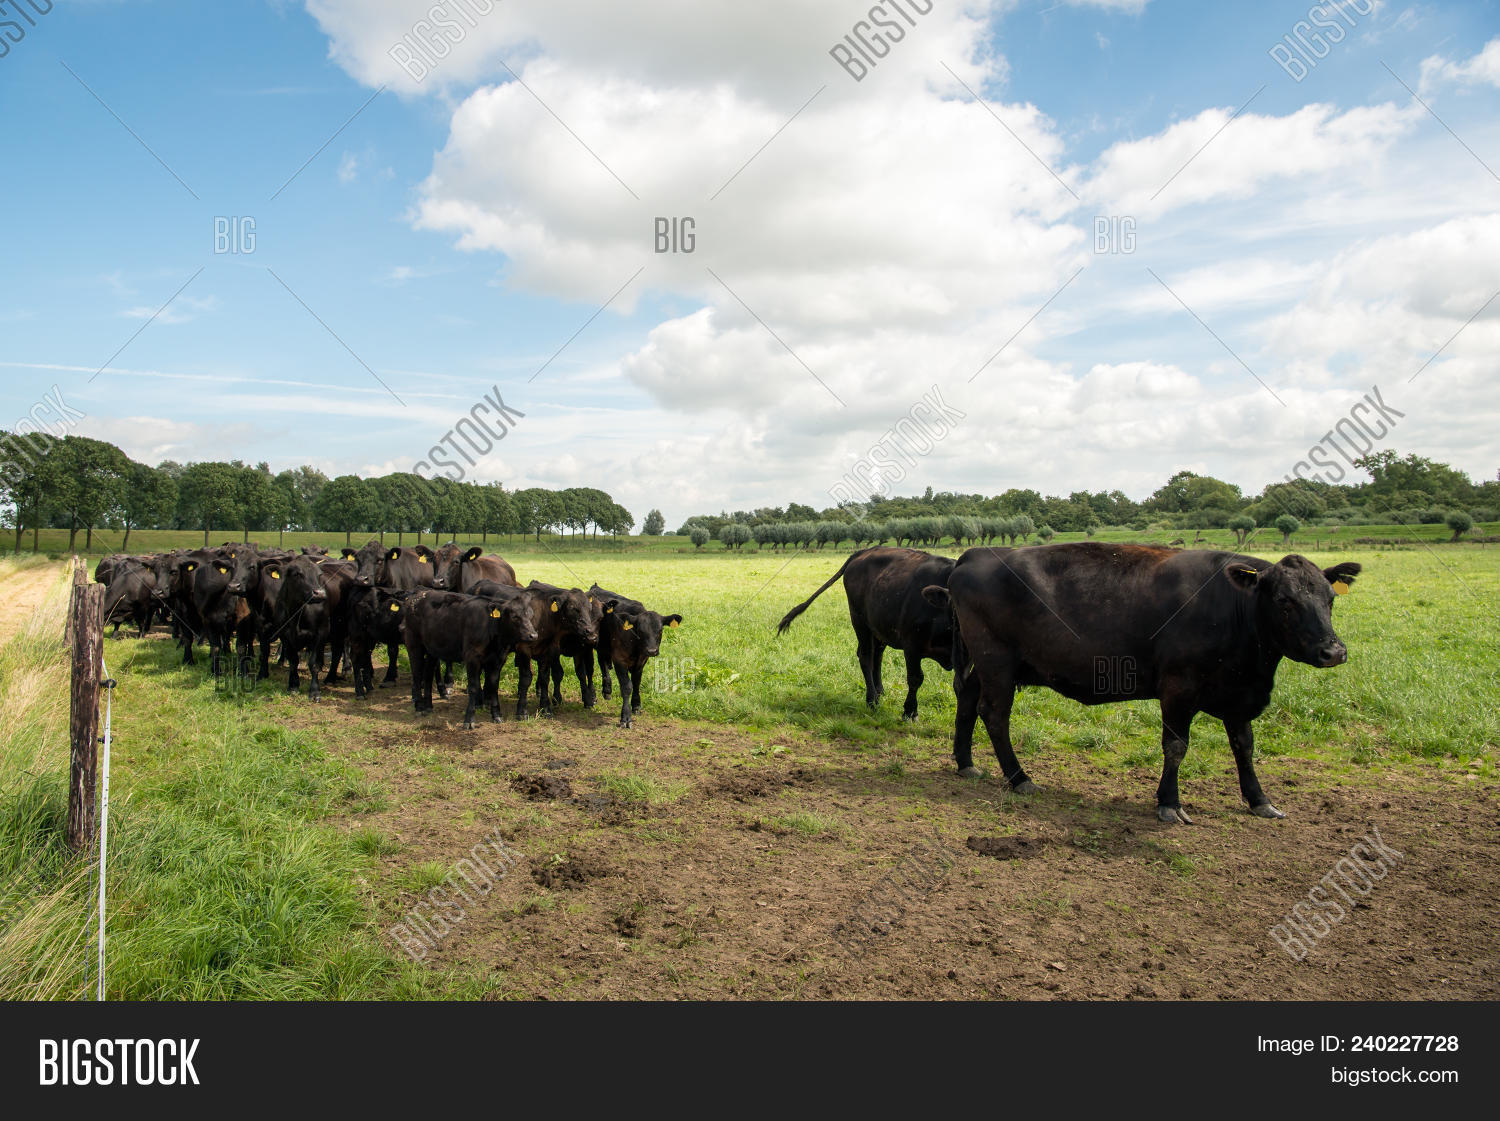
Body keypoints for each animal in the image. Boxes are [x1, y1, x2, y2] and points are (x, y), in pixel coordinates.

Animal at [403, 589, 539, 728]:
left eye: (531, 616)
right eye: (514, 616)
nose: (533, 635)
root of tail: (419, 595)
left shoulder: (498, 660)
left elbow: (493, 686)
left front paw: (497, 715)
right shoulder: (472, 658)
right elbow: (473, 687)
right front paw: (470, 719)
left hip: (432, 650)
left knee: (428, 676)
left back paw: (428, 706)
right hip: (414, 645)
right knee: (417, 674)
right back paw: (419, 707)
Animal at [587, 584, 682, 729]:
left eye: (660, 630)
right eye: (640, 630)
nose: (652, 650)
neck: (636, 645)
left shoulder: (641, 661)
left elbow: (637, 682)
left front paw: (636, 705)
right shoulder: (619, 659)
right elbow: (627, 686)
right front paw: (626, 717)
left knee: (602, 662)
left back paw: (607, 690)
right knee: (590, 669)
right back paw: (592, 697)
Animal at [776, 547, 955, 721]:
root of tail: (866, 550)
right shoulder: (912, 645)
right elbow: (915, 678)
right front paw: (910, 712)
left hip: (879, 627)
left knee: (877, 656)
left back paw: (879, 690)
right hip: (859, 620)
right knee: (866, 657)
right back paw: (872, 699)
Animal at [926, 543, 1362, 824]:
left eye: (1330, 599)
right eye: (1285, 600)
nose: (1334, 651)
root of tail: (975, 554)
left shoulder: (1238, 695)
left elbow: (1245, 747)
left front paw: (1259, 800)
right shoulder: (1178, 689)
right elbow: (1176, 746)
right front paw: (1169, 802)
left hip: (984, 665)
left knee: (968, 701)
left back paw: (965, 762)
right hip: (996, 661)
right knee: (994, 715)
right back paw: (1020, 778)